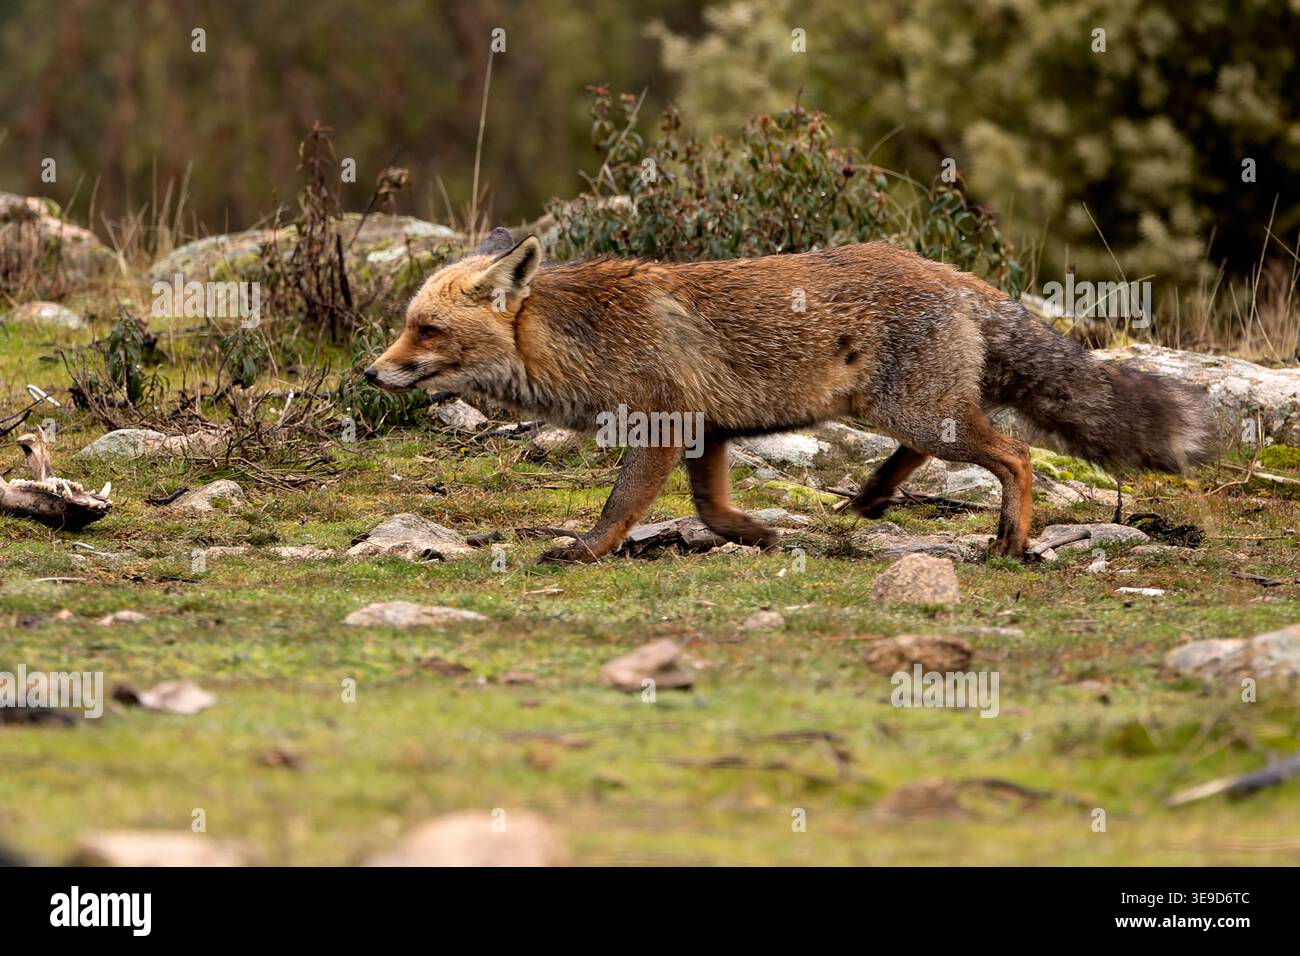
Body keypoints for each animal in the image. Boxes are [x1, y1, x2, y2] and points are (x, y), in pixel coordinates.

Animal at [366, 227, 1216, 562]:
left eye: (427, 331)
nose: (371, 373)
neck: (582, 337)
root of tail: (954, 273)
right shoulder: (705, 432)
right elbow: (711, 508)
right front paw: (757, 535)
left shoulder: (663, 424)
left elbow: (619, 507)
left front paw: (583, 551)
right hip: (907, 410)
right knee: (931, 453)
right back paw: (871, 497)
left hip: (922, 414)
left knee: (1016, 457)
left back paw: (1009, 539)